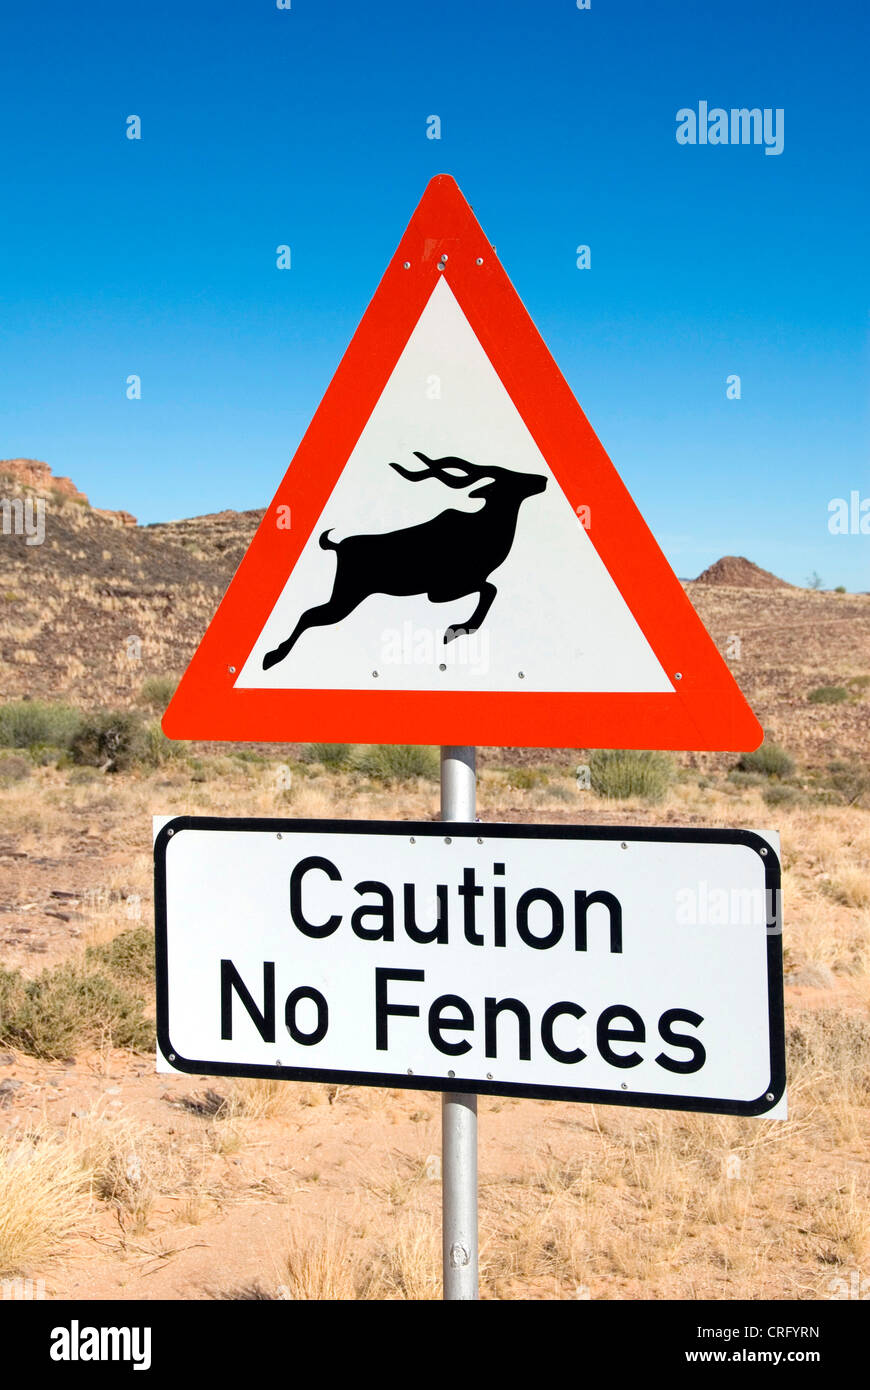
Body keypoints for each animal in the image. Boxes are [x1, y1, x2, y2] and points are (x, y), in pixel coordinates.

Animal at [262, 451, 547, 670]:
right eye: (510, 479)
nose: (542, 479)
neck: (486, 530)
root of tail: (337, 546)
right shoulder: (440, 591)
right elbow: (490, 589)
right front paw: (454, 630)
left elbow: (489, 589)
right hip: (346, 597)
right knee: (308, 614)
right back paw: (271, 657)